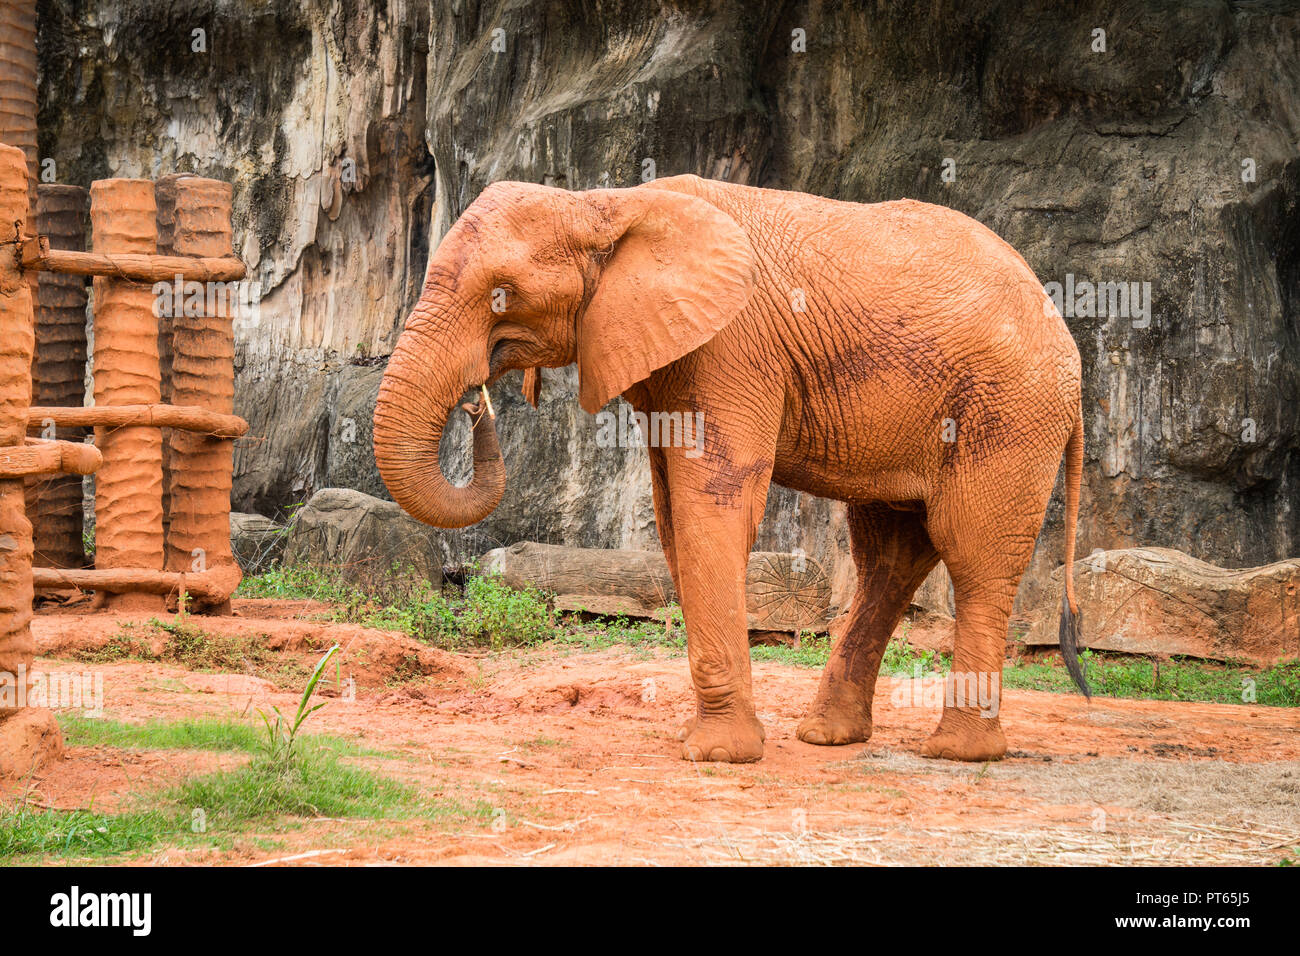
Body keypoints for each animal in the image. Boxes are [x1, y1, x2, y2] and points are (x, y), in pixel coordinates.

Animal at [373, 173, 1086, 764]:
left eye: (502, 296)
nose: (477, 402)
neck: (607, 202)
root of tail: (1070, 347)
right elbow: (672, 521)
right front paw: (716, 743)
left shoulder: (730, 347)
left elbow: (711, 509)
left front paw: (717, 754)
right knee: (891, 555)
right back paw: (827, 736)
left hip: (1010, 411)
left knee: (972, 553)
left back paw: (959, 753)